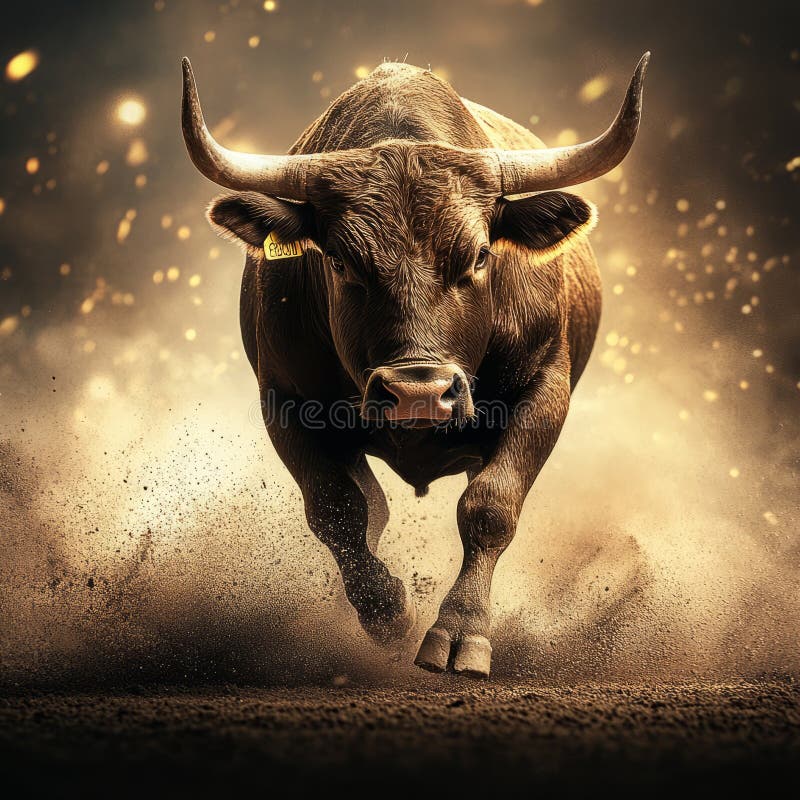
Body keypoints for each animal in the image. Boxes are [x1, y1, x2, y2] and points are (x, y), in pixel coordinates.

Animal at [181, 52, 649, 678]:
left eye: (479, 255)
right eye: (340, 261)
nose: (418, 393)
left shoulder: (545, 388)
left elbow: (490, 506)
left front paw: (460, 632)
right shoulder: (283, 400)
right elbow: (337, 510)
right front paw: (387, 612)